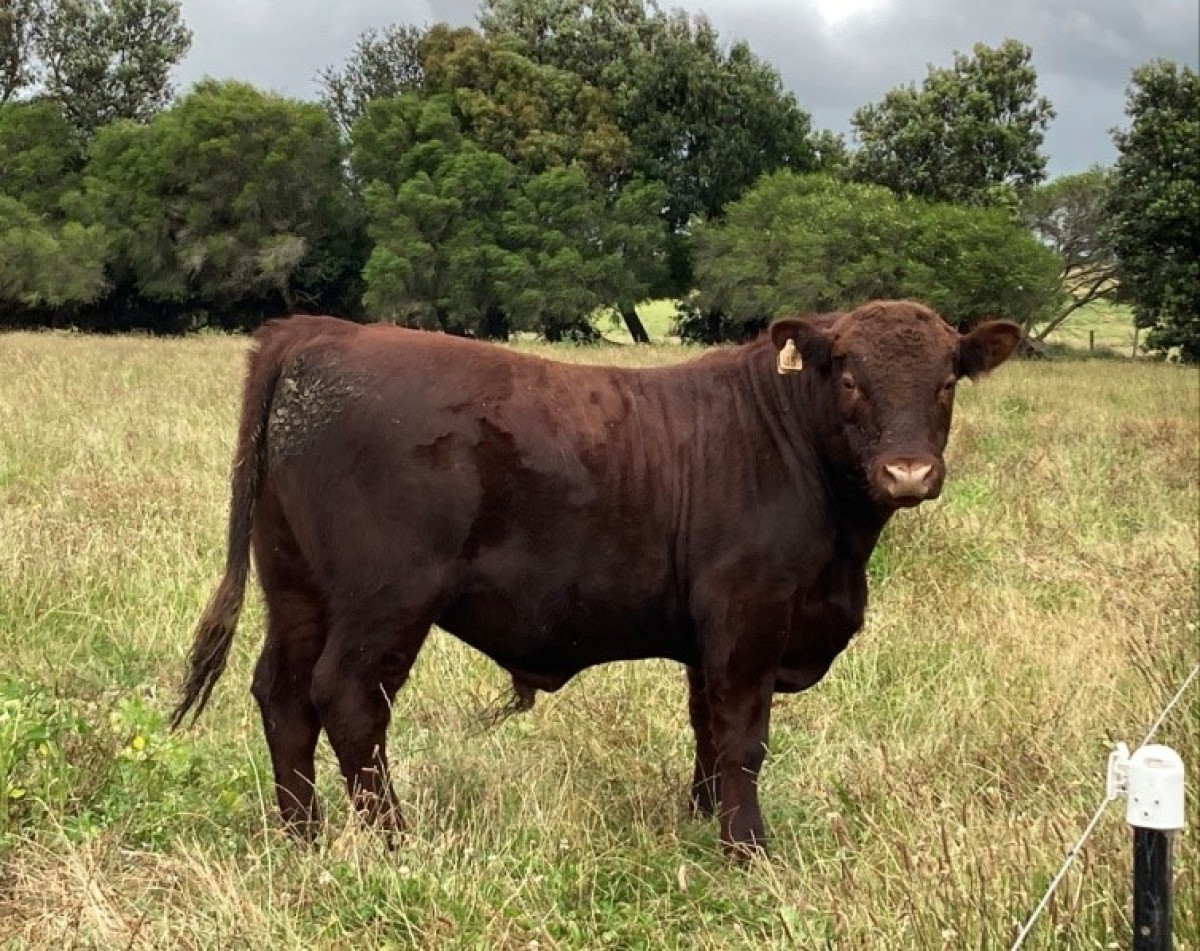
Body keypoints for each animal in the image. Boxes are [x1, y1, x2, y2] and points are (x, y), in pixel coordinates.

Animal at [171, 300, 1020, 857]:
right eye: (848, 374)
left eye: (948, 378)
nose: (907, 471)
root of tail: (319, 330)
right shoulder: (748, 613)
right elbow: (743, 736)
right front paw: (748, 848)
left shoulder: (708, 635)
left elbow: (706, 730)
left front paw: (699, 820)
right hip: (385, 599)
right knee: (347, 701)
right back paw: (393, 841)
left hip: (297, 589)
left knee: (283, 696)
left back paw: (302, 836)